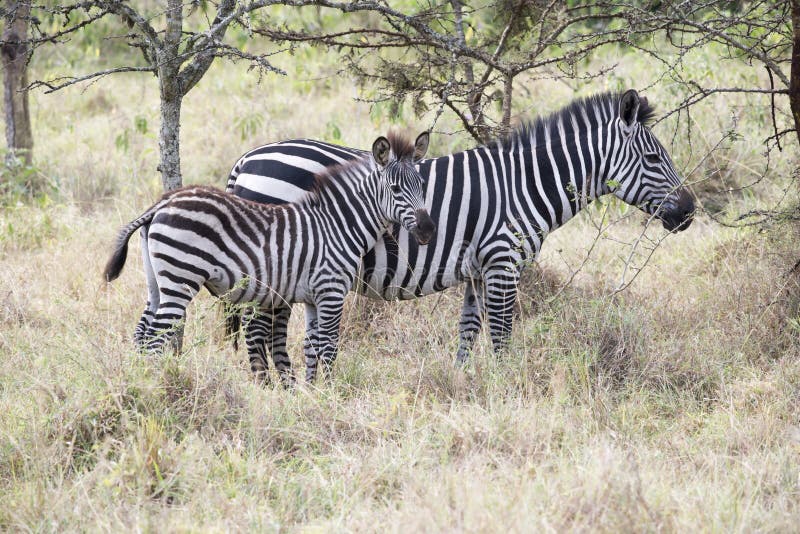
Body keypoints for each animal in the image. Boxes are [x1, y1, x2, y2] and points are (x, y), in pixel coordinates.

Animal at [104, 132, 435, 385]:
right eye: (395, 188)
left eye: (422, 185)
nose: (428, 229)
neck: (337, 224)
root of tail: (161, 204)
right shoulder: (331, 290)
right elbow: (329, 347)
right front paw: (330, 394)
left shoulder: (314, 296)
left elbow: (312, 346)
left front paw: (311, 394)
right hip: (180, 278)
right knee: (156, 338)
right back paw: (154, 388)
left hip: (157, 281)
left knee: (143, 333)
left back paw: (140, 383)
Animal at [227, 90, 695, 368]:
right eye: (654, 158)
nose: (690, 212)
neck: (523, 185)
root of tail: (248, 158)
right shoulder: (504, 261)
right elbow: (502, 334)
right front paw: (506, 390)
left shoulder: (476, 269)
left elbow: (469, 331)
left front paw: (464, 382)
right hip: (281, 262)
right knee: (257, 332)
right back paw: (272, 391)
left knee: (267, 331)